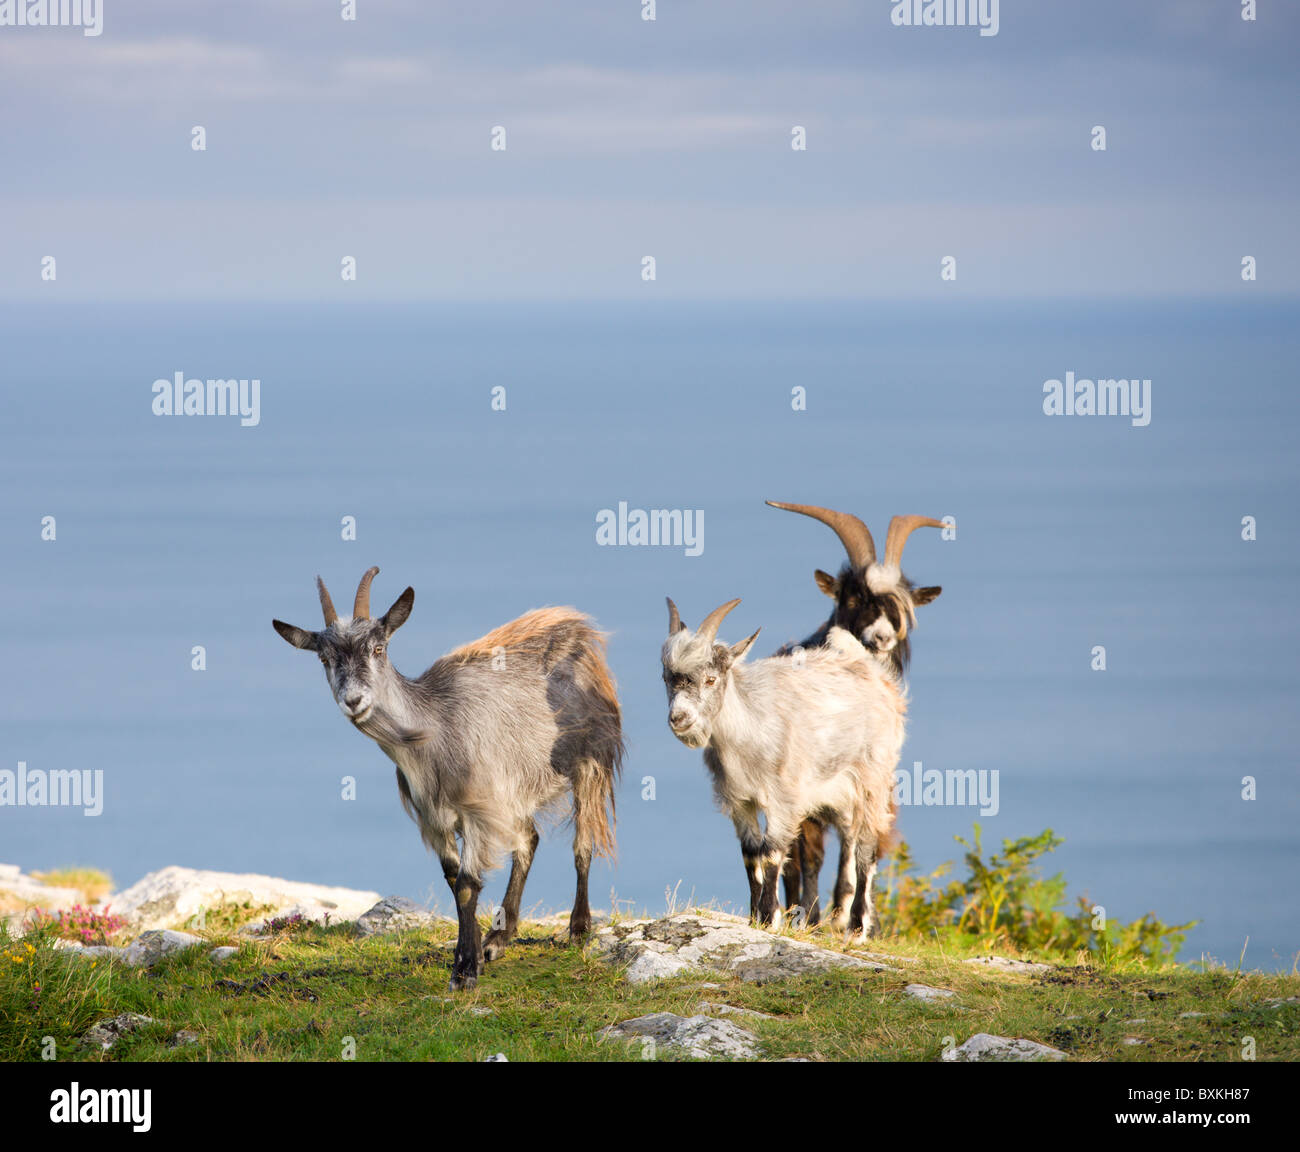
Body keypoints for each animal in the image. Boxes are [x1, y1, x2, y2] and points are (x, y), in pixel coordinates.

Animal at [273, 567, 623, 990]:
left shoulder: (477, 810)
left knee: (582, 843)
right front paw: (469, 955)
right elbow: (454, 880)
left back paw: (578, 928)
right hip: (514, 790)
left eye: (378, 649)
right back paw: (499, 938)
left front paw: (465, 972)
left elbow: (468, 884)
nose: (353, 701)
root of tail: (577, 625)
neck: (433, 733)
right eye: (324, 658)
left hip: (589, 761)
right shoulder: (436, 817)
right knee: (528, 840)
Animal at [661, 596, 904, 936]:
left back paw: (857, 928)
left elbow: (772, 852)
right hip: (840, 792)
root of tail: (871, 672)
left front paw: (768, 916)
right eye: (666, 678)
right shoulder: (740, 800)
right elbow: (751, 855)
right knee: (849, 836)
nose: (679, 719)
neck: (750, 729)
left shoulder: (783, 800)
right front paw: (754, 918)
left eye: (710, 679)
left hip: (874, 777)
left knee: (866, 846)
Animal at [766, 503, 944, 927]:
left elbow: (857, 851)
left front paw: (846, 918)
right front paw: (817, 917)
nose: (881, 637)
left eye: (900, 605)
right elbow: (813, 857)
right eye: (851, 599)